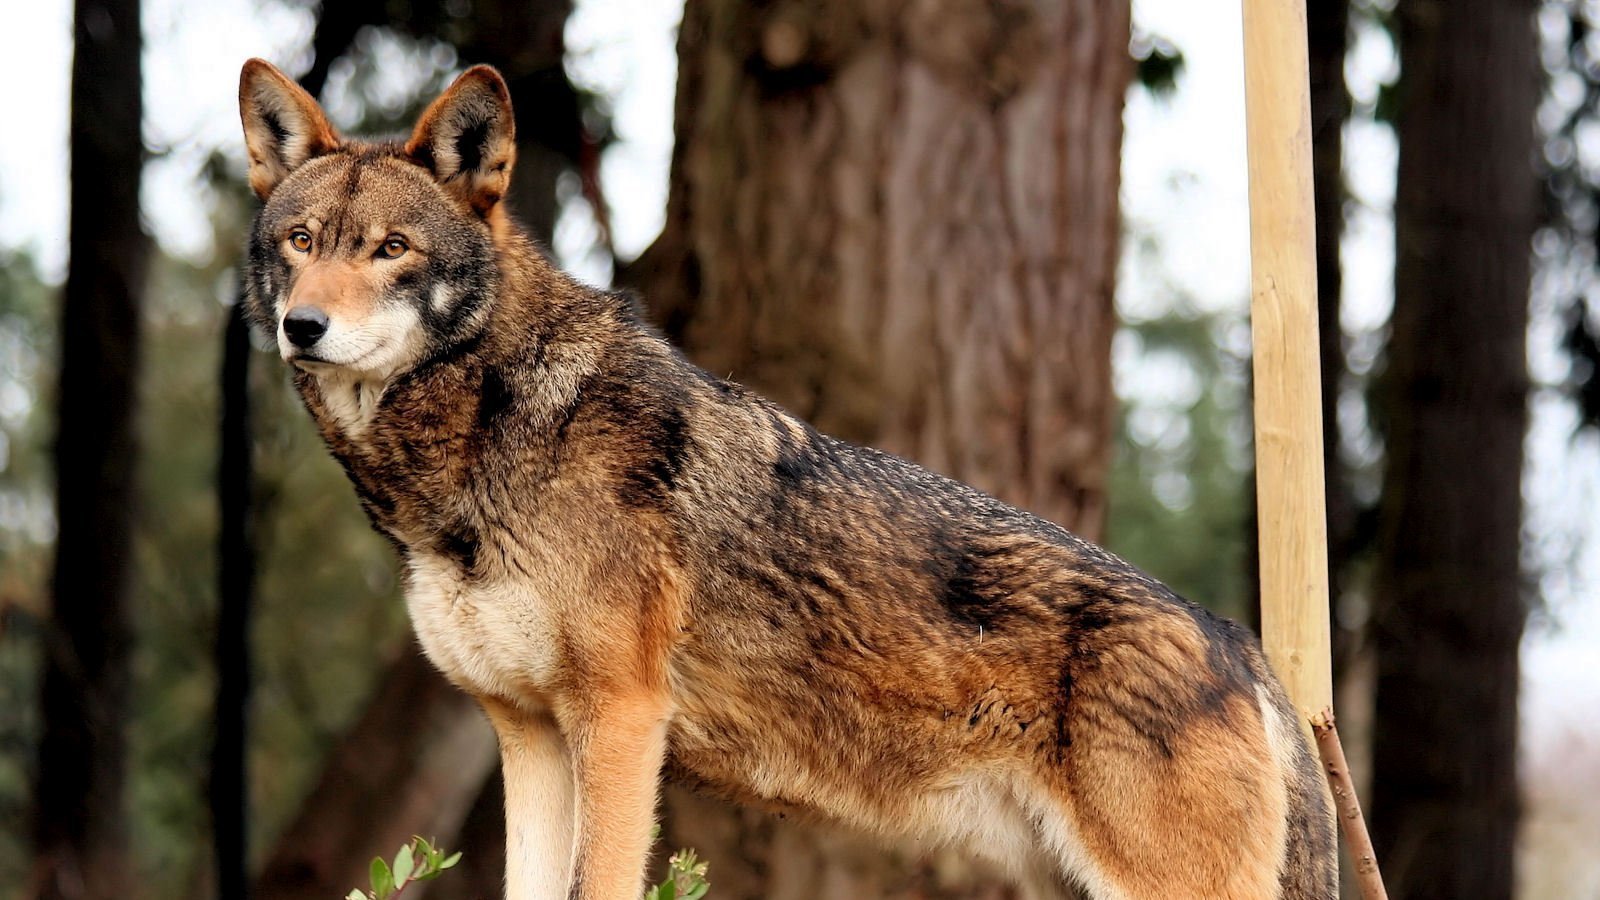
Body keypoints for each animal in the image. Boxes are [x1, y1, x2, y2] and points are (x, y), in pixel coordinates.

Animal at [238, 59, 1336, 900]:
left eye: (391, 249)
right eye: (301, 242)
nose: (303, 326)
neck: (493, 429)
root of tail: (1237, 644)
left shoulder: (621, 719)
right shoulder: (530, 735)